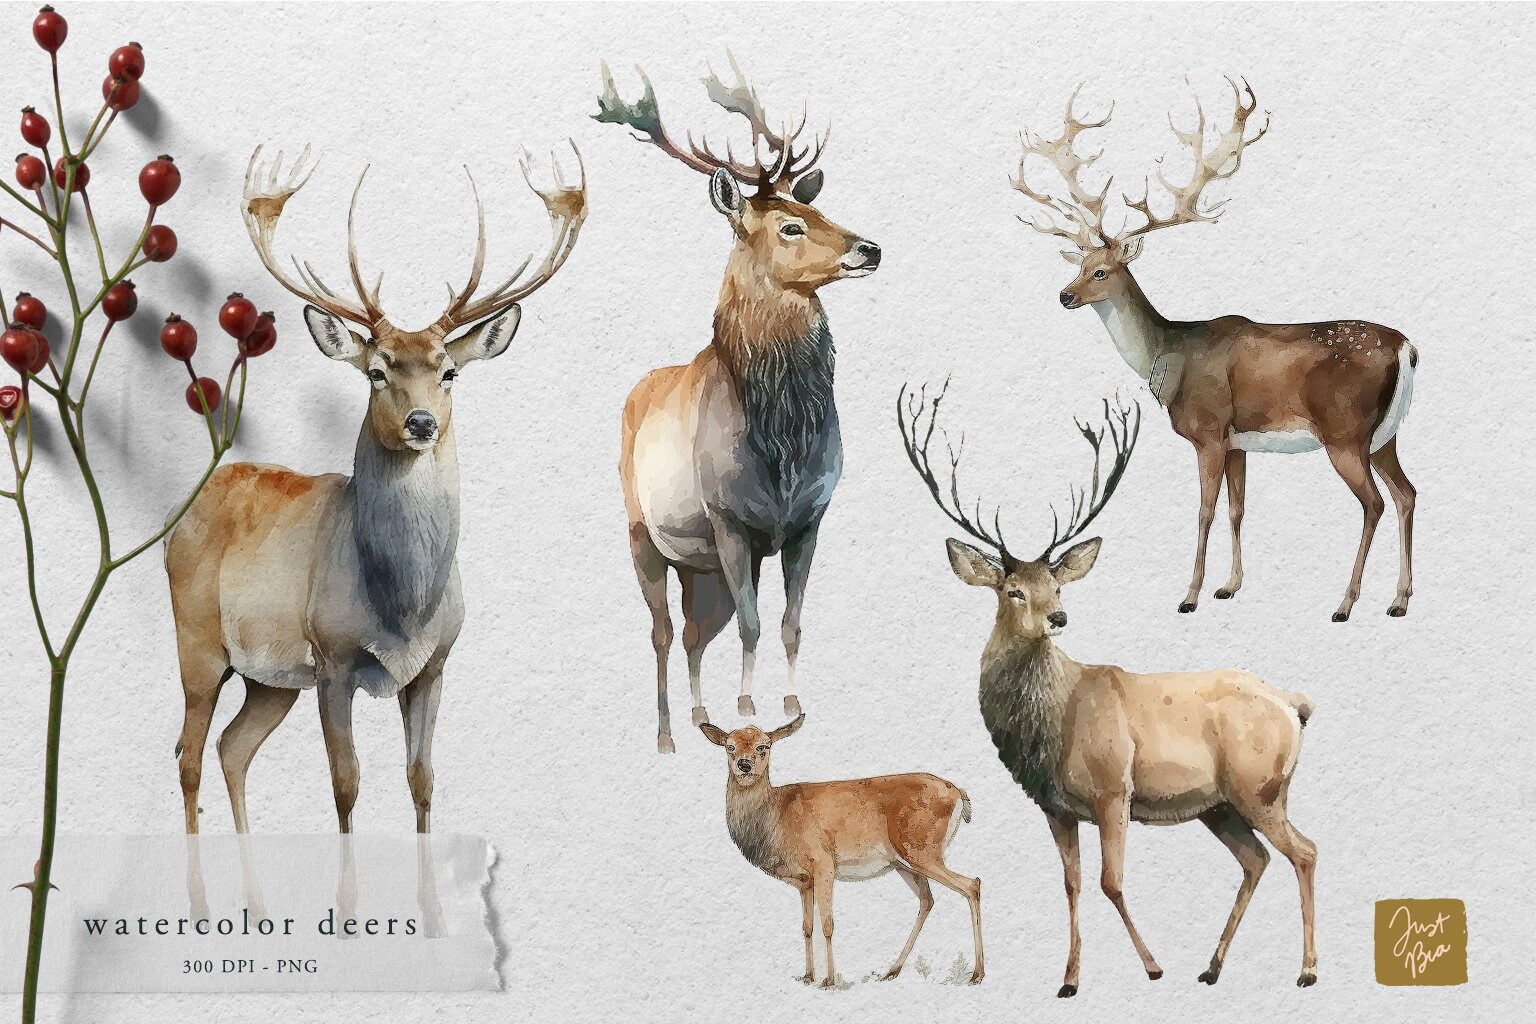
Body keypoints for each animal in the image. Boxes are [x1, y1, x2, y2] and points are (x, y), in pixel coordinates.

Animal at [164, 143, 586, 838]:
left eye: (450, 371)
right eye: (376, 372)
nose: (421, 422)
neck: (403, 611)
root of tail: (185, 506)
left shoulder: (435, 665)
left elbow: (421, 782)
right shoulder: (332, 658)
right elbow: (345, 784)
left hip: (270, 678)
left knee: (232, 747)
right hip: (196, 641)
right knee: (190, 757)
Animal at [595, 56, 881, 752]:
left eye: (816, 205)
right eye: (790, 225)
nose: (870, 247)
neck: (784, 442)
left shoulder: (810, 519)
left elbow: (789, 624)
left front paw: (789, 703)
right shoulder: (729, 520)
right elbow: (753, 625)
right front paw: (748, 706)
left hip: (699, 570)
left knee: (697, 634)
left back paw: (702, 715)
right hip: (642, 531)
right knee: (663, 633)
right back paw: (668, 736)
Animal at [699, 714, 983, 988]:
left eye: (764, 746)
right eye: (729, 746)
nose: (744, 764)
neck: (779, 816)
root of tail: (959, 794)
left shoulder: (823, 862)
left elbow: (827, 924)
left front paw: (829, 980)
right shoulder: (804, 881)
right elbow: (807, 927)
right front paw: (808, 976)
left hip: (923, 850)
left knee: (972, 884)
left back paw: (976, 974)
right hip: (904, 863)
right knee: (927, 899)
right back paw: (891, 971)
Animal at [898, 380, 1319, 994]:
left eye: (1056, 584)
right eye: (1012, 590)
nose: (1058, 617)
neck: (1051, 728)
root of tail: (1295, 704)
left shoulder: (1113, 788)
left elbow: (1111, 882)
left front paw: (1152, 966)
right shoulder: (1055, 807)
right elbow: (1071, 886)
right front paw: (1069, 979)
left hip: (1260, 787)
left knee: (1304, 852)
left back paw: (1306, 969)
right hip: (1221, 805)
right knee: (1257, 860)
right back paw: (1212, 967)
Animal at [1012, 79, 1417, 621]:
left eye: (1102, 271)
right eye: (1077, 265)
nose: (1064, 295)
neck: (1170, 355)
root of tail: (1407, 347)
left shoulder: (1207, 432)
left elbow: (1204, 510)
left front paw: (1190, 595)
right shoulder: (1237, 441)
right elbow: (1237, 508)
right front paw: (1231, 586)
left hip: (1345, 432)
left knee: (1373, 502)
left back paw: (1345, 603)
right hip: (1384, 435)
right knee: (1407, 494)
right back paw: (1399, 600)